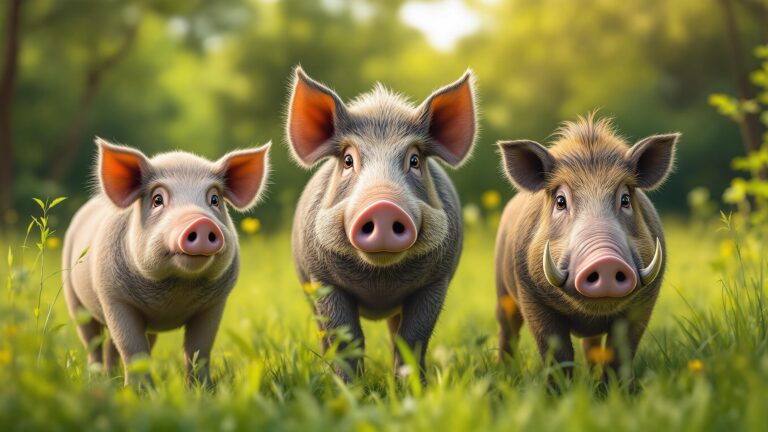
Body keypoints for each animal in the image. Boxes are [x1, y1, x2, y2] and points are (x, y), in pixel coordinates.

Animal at [62, 138, 270, 385]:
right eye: (157, 199)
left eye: (214, 199)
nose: (200, 221)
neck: (174, 293)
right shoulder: (113, 297)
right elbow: (131, 348)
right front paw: (137, 391)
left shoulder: (215, 303)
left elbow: (199, 349)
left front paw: (201, 388)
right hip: (75, 300)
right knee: (92, 341)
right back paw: (98, 378)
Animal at [286, 67, 477, 381]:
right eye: (348, 160)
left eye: (414, 160)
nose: (383, 206)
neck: (379, 283)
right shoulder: (322, 278)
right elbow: (346, 338)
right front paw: (345, 387)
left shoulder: (436, 281)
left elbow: (412, 338)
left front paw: (413, 386)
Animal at [495, 115, 678, 377]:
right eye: (560, 201)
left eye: (625, 199)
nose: (606, 261)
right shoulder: (530, 295)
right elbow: (557, 352)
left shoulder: (645, 302)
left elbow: (620, 351)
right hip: (501, 287)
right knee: (506, 327)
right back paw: (503, 371)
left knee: (591, 344)